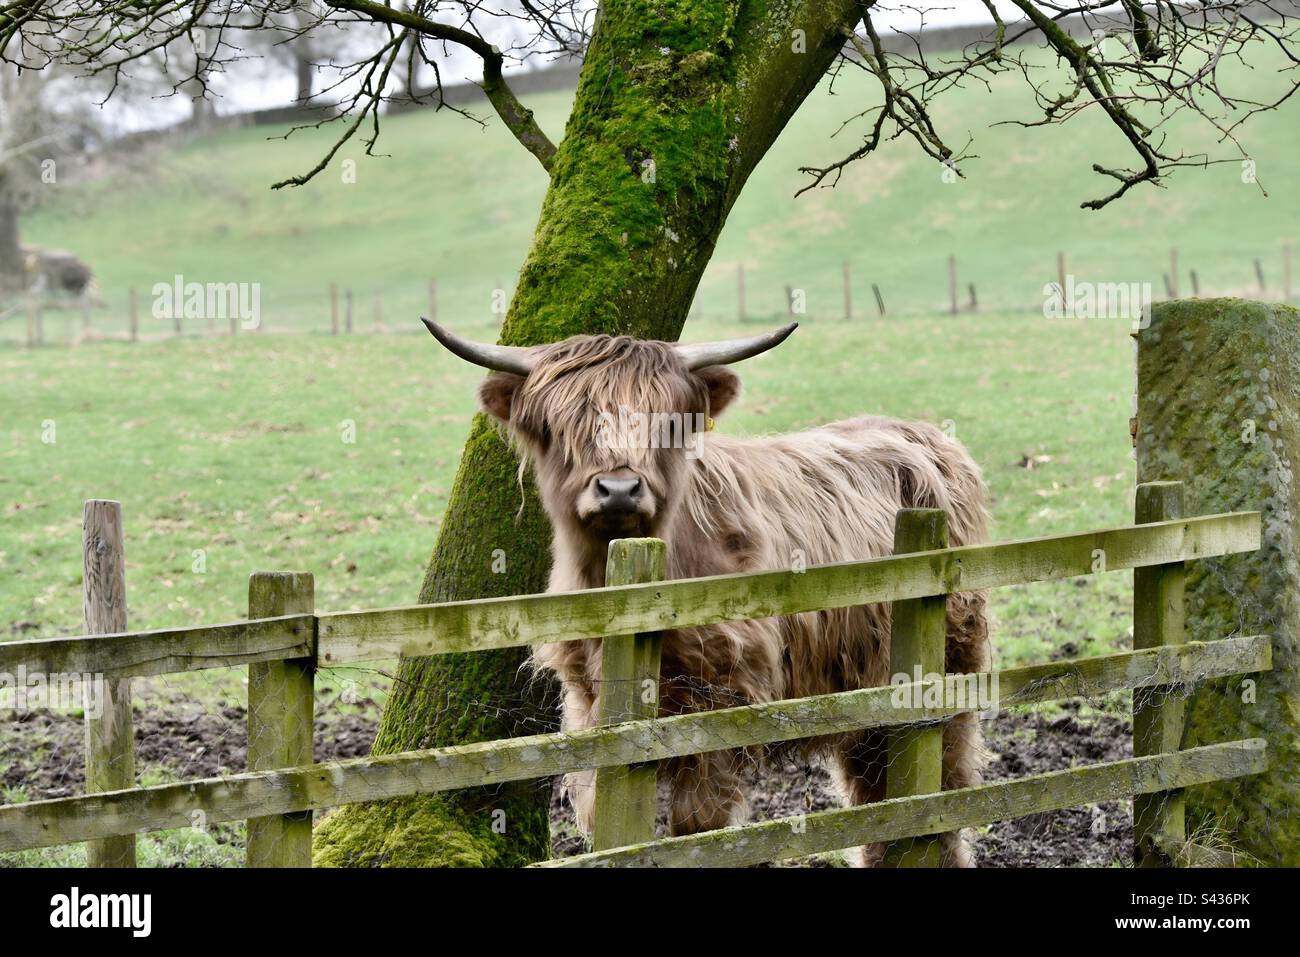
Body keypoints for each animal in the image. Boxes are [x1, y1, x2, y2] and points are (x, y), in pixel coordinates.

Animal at [425, 318, 990, 866]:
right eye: (563, 424)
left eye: (668, 421)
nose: (619, 490)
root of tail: (924, 433)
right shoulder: (589, 702)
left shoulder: (719, 702)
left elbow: (695, 830)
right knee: (878, 794)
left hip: (949, 665)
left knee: (943, 786)